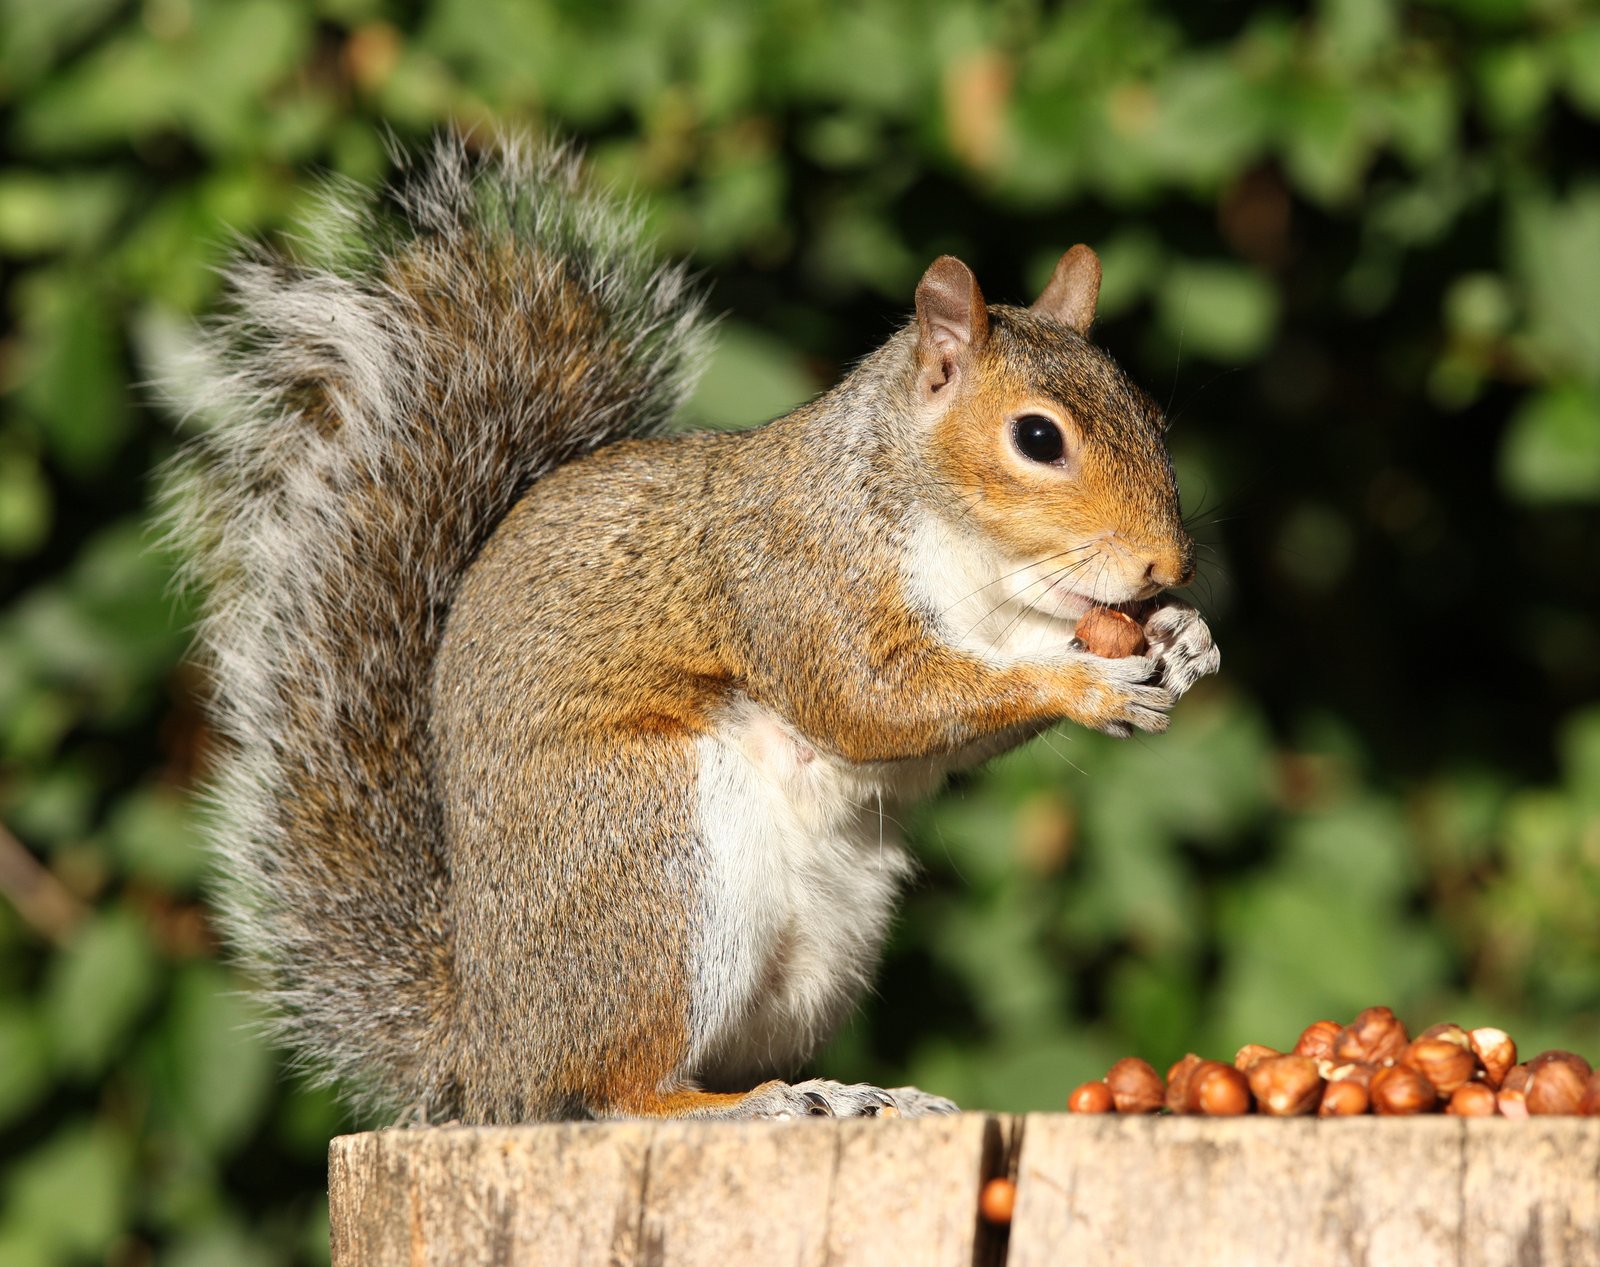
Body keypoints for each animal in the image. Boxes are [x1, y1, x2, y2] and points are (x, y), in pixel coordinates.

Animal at [170, 133, 1219, 1125]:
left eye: (1151, 413)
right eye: (1037, 438)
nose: (1168, 565)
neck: (980, 572)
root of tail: (490, 1052)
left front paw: (1183, 639)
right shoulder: (798, 579)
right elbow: (868, 700)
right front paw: (1082, 682)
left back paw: (848, 1094)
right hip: (657, 867)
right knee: (609, 1089)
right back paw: (758, 1104)